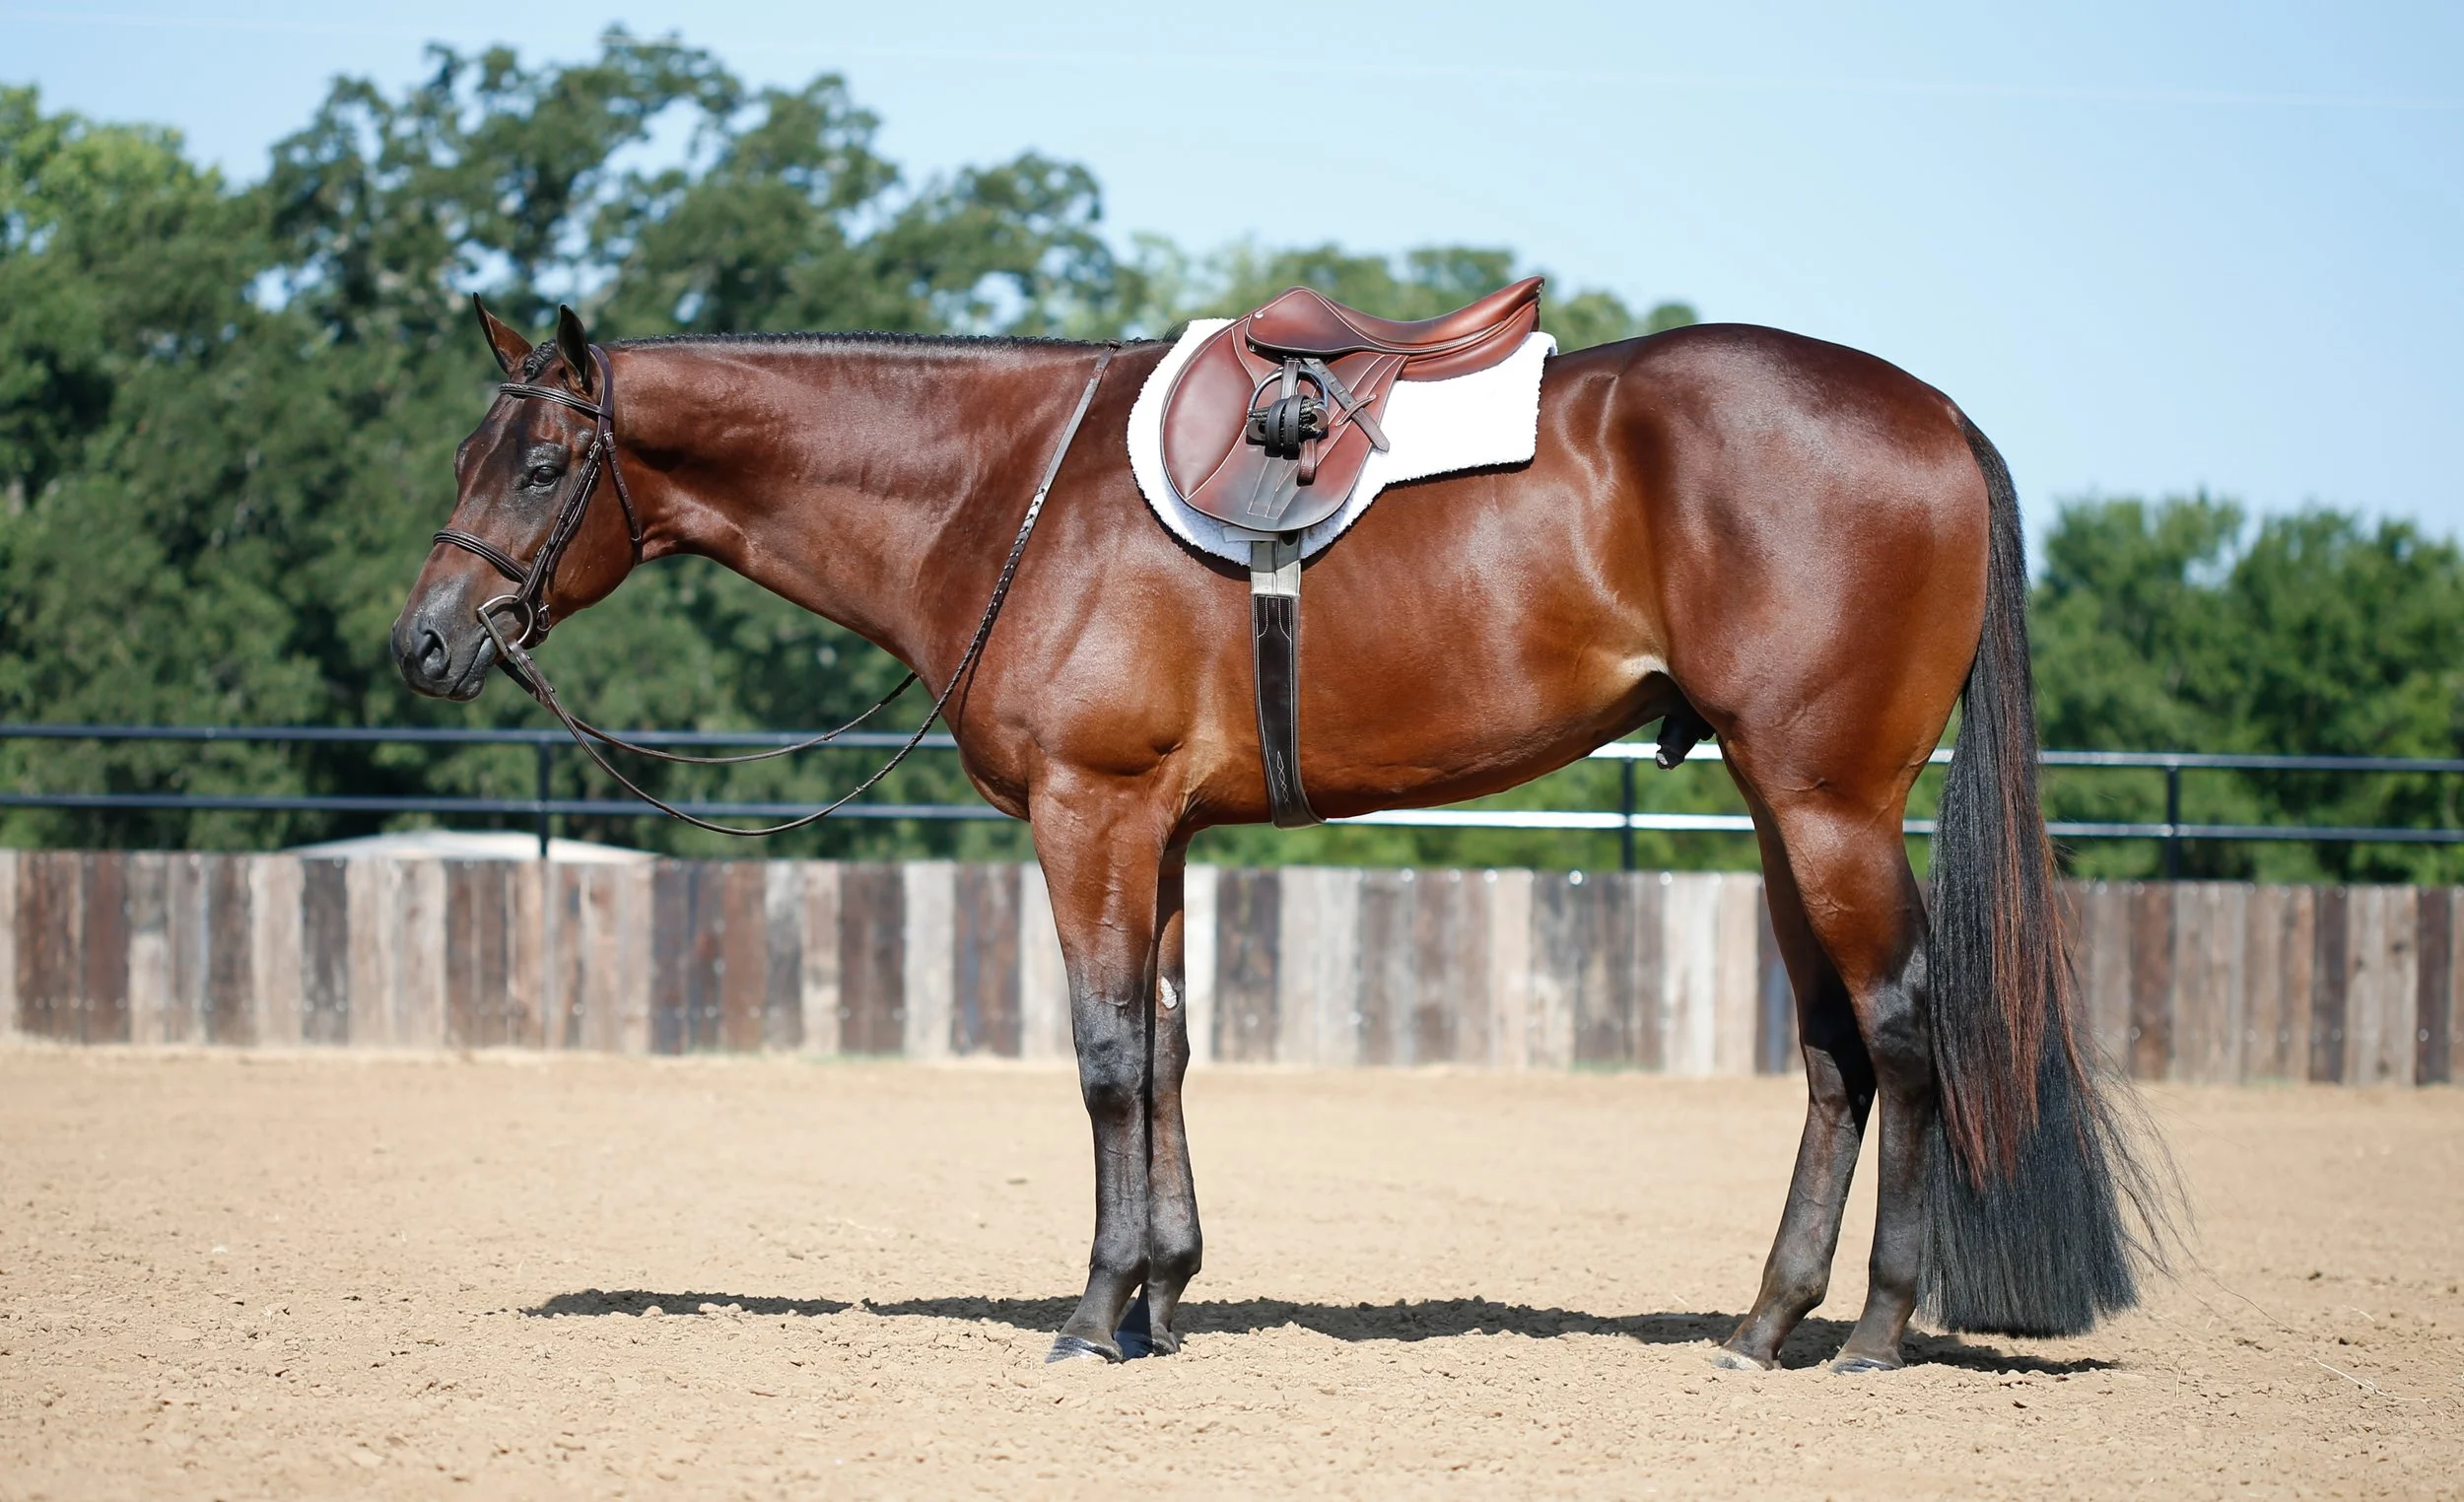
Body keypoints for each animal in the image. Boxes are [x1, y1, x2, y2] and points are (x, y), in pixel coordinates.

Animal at [393, 298, 2164, 1370]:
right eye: (465, 451)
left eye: (541, 462)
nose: (423, 643)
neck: (1007, 491)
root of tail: (1932, 412)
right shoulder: (1159, 828)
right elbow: (1170, 1048)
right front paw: (1163, 1297)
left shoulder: (1092, 813)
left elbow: (1108, 1055)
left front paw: (1092, 1309)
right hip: (1780, 807)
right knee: (1832, 1054)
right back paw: (1762, 1320)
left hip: (1827, 802)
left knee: (1906, 1028)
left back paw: (1872, 1329)